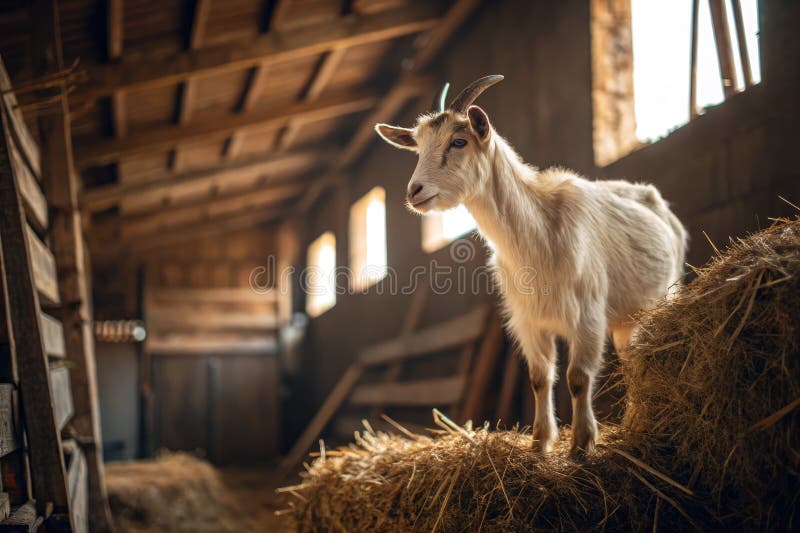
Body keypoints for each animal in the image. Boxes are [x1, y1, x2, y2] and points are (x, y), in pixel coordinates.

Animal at [375, 75, 687, 454]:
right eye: (418, 150)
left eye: (458, 141)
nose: (415, 192)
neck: (537, 233)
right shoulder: (528, 320)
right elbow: (540, 378)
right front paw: (540, 442)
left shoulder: (587, 315)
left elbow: (578, 378)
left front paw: (581, 443)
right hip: (626, 318)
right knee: (631, 359)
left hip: (663, 296)